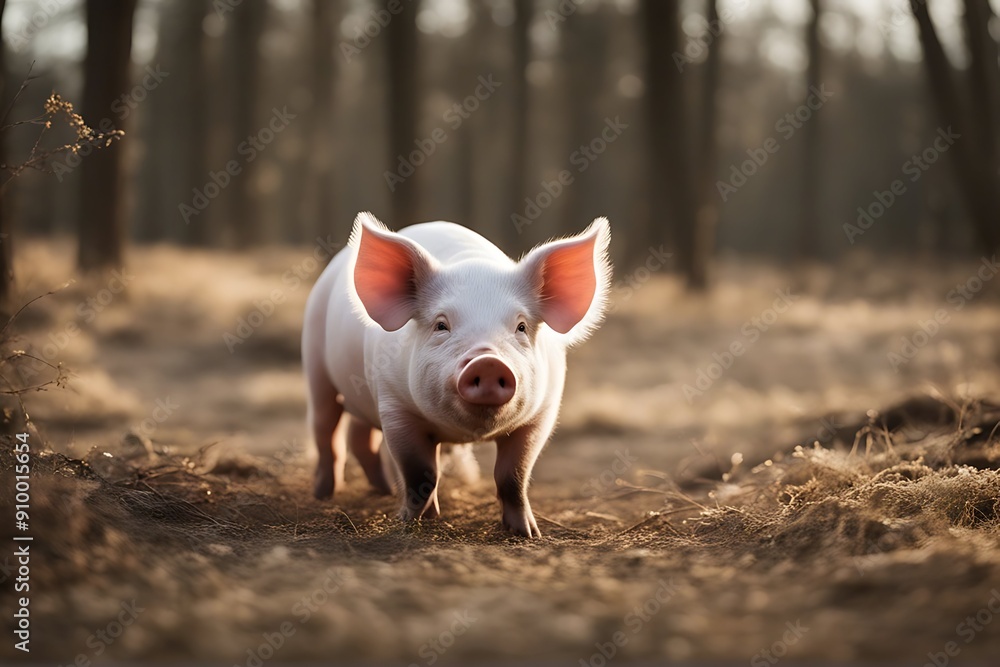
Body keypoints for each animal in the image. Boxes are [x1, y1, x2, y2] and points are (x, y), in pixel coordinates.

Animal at [301, 212, 612, 537]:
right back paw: (324, 494)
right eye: (441, 325)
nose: (488, 362)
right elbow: (421, 473)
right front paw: (412, 522)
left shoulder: (542, 414)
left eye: (521, 326)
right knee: (327, 430)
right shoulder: (395, 407)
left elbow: (513, 476)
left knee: (359, 437)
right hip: (315, 365)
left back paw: (383, 490)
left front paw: (527, 533)